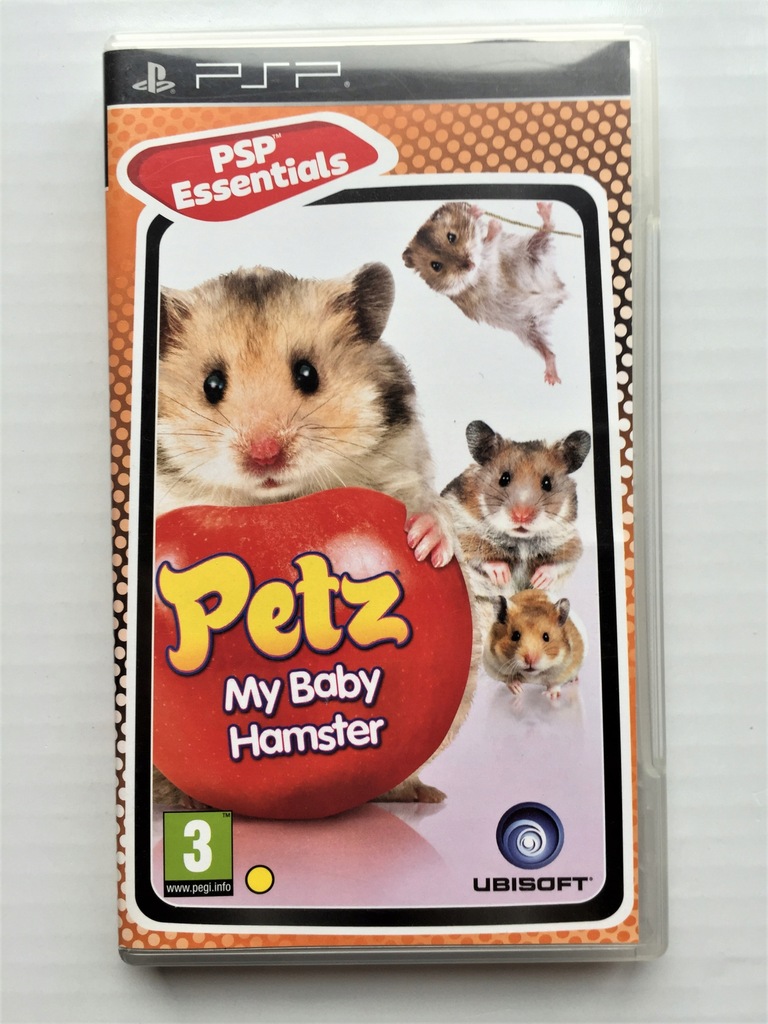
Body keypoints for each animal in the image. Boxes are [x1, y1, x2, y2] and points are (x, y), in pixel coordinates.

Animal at [402, 201, 567, 384]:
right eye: (435, 266)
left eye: (451, 237)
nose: (470, 265)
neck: (477, 267)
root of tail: (557, 291)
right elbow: (488, 243)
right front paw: (494, 223)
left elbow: (484, 240)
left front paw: (477, 211)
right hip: (530, 329)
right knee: (548, 352)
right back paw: (552, 379)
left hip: (532, 249)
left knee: (547, 229)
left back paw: (543, 207)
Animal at [442, 420, 591, 602]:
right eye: (504, 478)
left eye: (547, 483)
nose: (522, 516)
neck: (521, 541)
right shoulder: (463, 533)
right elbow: (478, 558)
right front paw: (503, 575)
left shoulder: (570, 543)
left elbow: (560, 564)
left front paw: (539, 579)